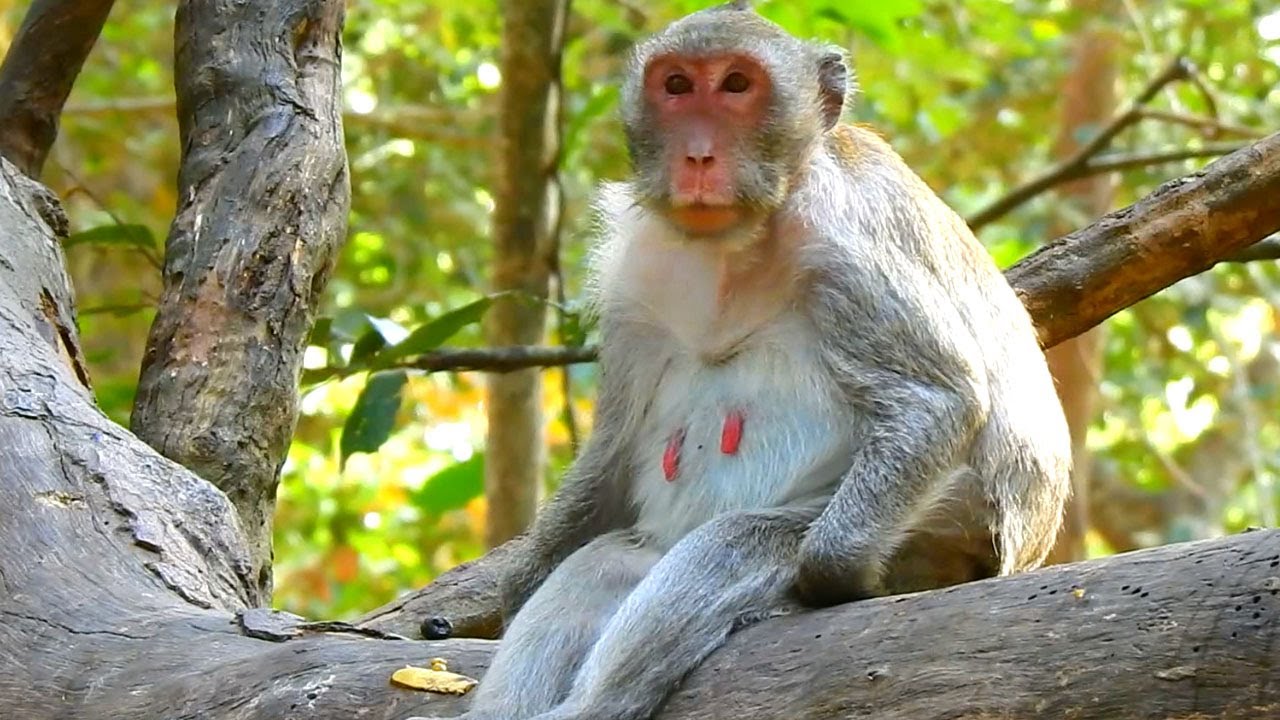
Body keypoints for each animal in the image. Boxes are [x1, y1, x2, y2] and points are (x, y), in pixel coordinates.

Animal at [410, 3, 1071, 720]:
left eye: (736, 85)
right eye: (676, 86)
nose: (698, 154)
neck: (734, 243)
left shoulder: (843, 243)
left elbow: (938, 400)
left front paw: (835, 577)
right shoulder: (633, 272)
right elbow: (613, 450)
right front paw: (520, 586)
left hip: (954, 519)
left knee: (727, 546)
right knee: (607, 561)